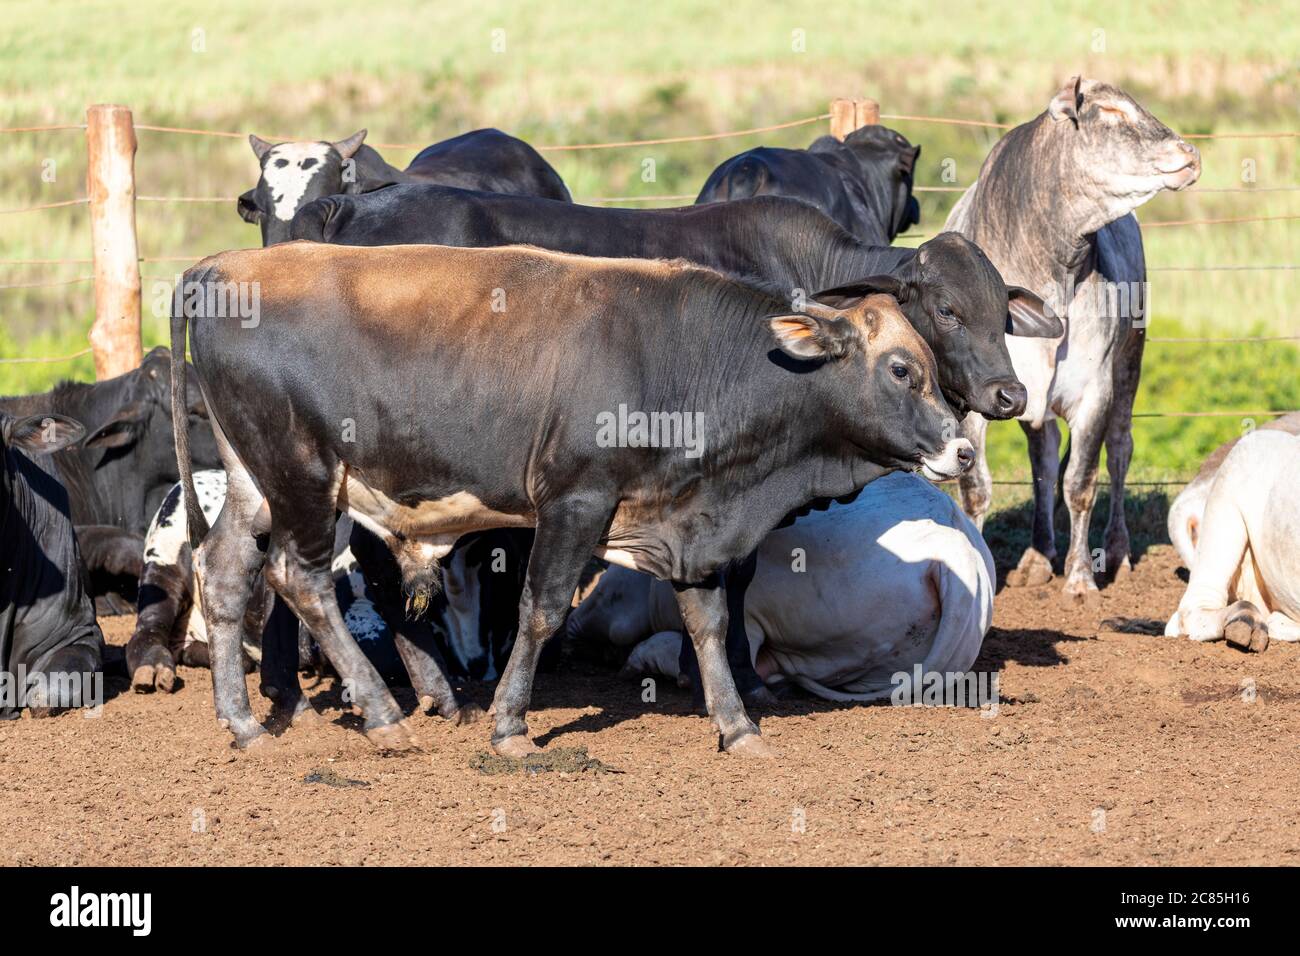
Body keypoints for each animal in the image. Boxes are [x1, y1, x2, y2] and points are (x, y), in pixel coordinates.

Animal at [945, 76, 1201, 602]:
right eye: (1111, 111)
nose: (1188, 153)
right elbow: (978, 487)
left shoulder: (1094, 391)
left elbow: (1081, 482)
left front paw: (1081, 577)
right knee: (1042, 460)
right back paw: (1037, 557)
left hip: (1129, 365)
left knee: (1119, 451)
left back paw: (1116, 551)